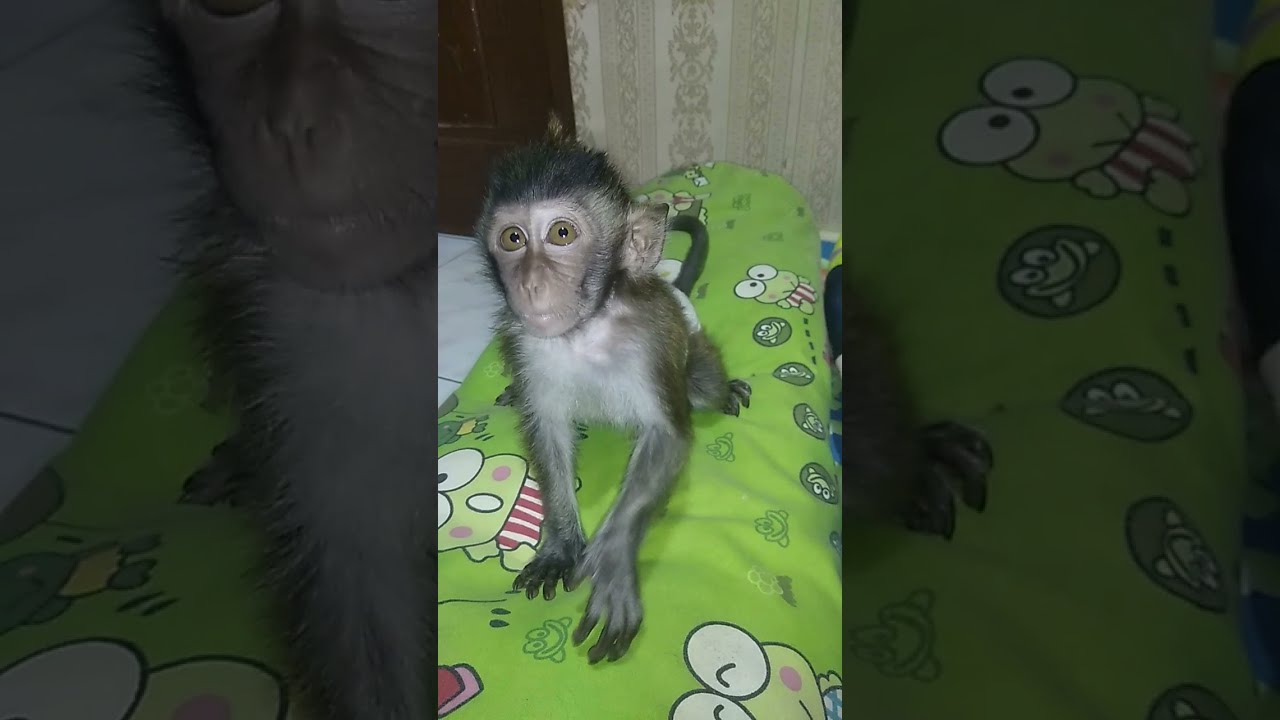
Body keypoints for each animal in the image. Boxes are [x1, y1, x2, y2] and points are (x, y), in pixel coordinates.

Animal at [475, 116, 750, 663]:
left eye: (561, 234)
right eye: (513, 238)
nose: (531, 283)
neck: (584, 331)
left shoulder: (649, 340)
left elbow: (668, 436)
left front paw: (614, 554)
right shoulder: (526, 344)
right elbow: (547, 430)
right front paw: (561, 545)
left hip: (689, 354)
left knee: (701, 388)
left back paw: (722, 387)